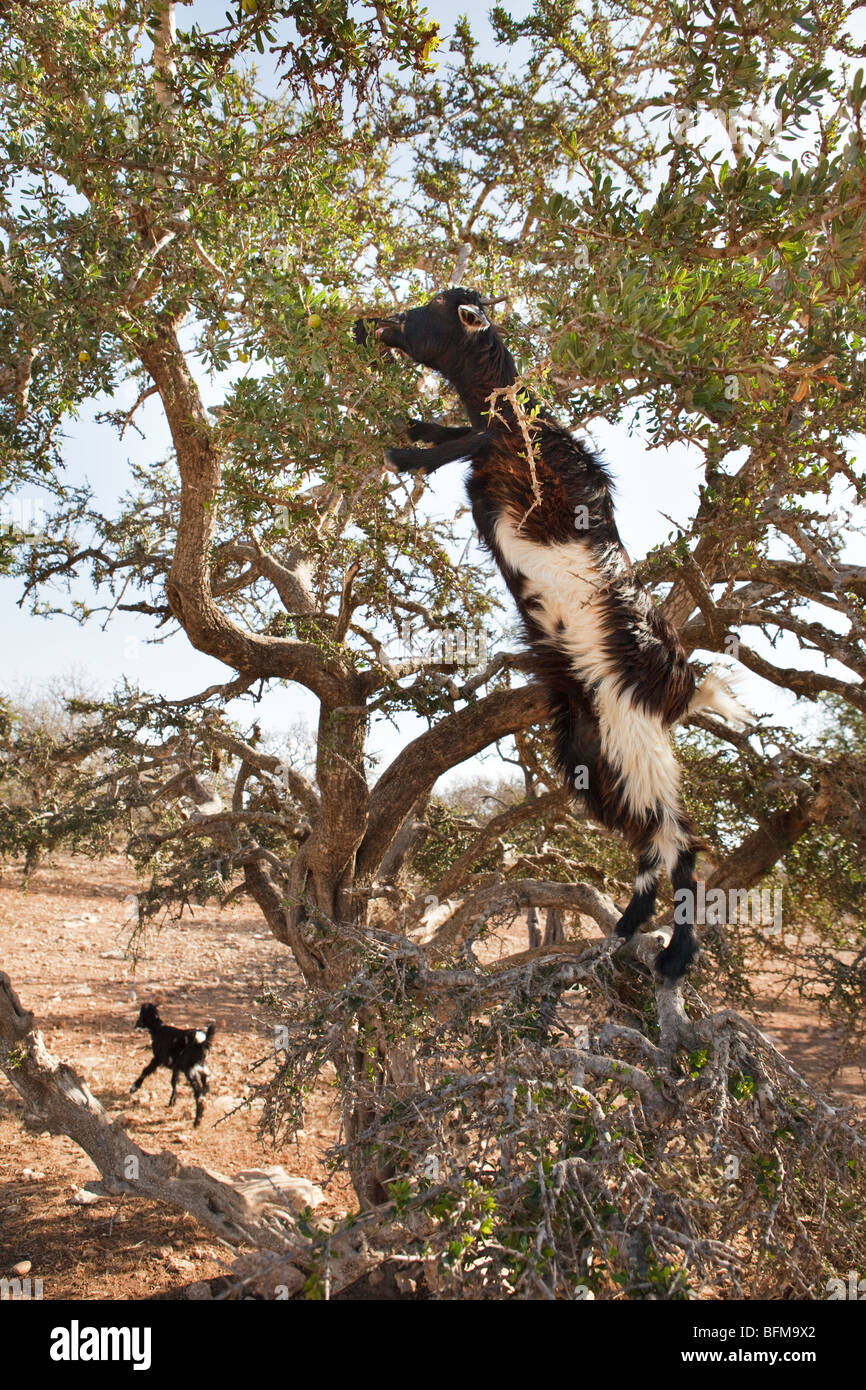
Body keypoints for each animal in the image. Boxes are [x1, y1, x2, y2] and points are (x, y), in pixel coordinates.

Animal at [363, 287, 750, 984]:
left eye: (432, 308)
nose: (379, 325)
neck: (532, 420)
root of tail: (680, 686)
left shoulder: (529, 472)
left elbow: (478, 436)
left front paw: (406, 451)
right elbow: (467, 434)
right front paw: (419, 429)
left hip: (633, 739)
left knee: (680, 840)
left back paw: (674, 953)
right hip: (590, 756)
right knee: (652, 838)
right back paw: (628, 928)